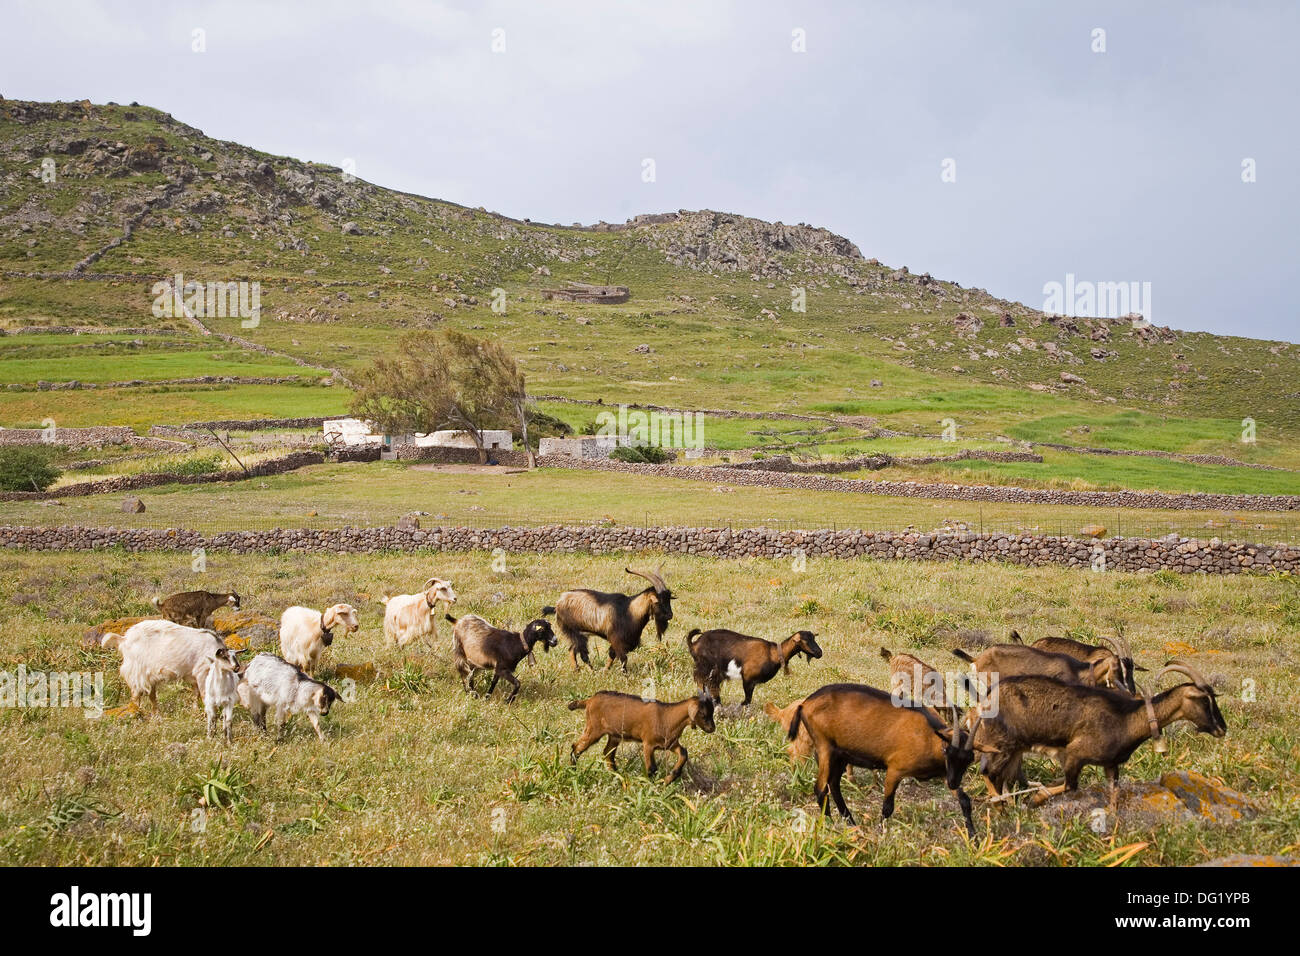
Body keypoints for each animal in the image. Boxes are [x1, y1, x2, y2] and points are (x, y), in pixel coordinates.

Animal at [100, 620, 235, 713]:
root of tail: (124, 639)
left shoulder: (193, 675)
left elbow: (196, 693)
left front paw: (195, 710)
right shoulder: (202, 672)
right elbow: (203, 694)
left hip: (148, 676)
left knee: (151, 696)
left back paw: (156, 715)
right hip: (137, 672)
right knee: (136, 694)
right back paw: (136, 712)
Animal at [569, 690, 714, 784]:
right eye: (703, 714)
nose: (712, 728)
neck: (667, 717)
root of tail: (589, 700)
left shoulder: (670, 744)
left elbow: (684, 753)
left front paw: (668, 779)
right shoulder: (648, 744)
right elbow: (652, 769)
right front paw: (651, 788)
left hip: (614, 735)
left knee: (607, 753)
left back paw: (618, 776)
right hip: (594, 729)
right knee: (577, 747)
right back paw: (572, 771)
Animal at [687, 627, 822, 706]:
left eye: (814, 638)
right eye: (804, 641)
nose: (819, 653)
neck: (773, 653)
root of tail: (694, 644)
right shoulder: (748, 678)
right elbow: (747, 700)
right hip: (704, 669)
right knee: (702, 686)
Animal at [788, 683, 991, 835]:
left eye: (969, 759)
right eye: (947, 751)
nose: (953, 783)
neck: (929, 735)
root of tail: (805, 704)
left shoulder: (944, 772)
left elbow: (965, 800)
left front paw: (974, 838)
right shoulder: (895, 769)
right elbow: (887, 806)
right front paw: (881, 832)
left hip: (840, 755)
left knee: (834, 785)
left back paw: (851, 824)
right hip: (825, 747)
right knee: (821, 788)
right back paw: (829, 826)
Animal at [972, 661, 1227, 811]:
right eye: (1204, 700)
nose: (1222, 728)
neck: (1127, 719)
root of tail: (987, 699)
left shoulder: (1111, 765)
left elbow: (1114, 796)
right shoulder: (1075, 754)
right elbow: (1069, 786)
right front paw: (1034, 799)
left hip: (1014, 750)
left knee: (999, 777)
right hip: (1002, 744)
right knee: (988, 772)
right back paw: (999, 803)